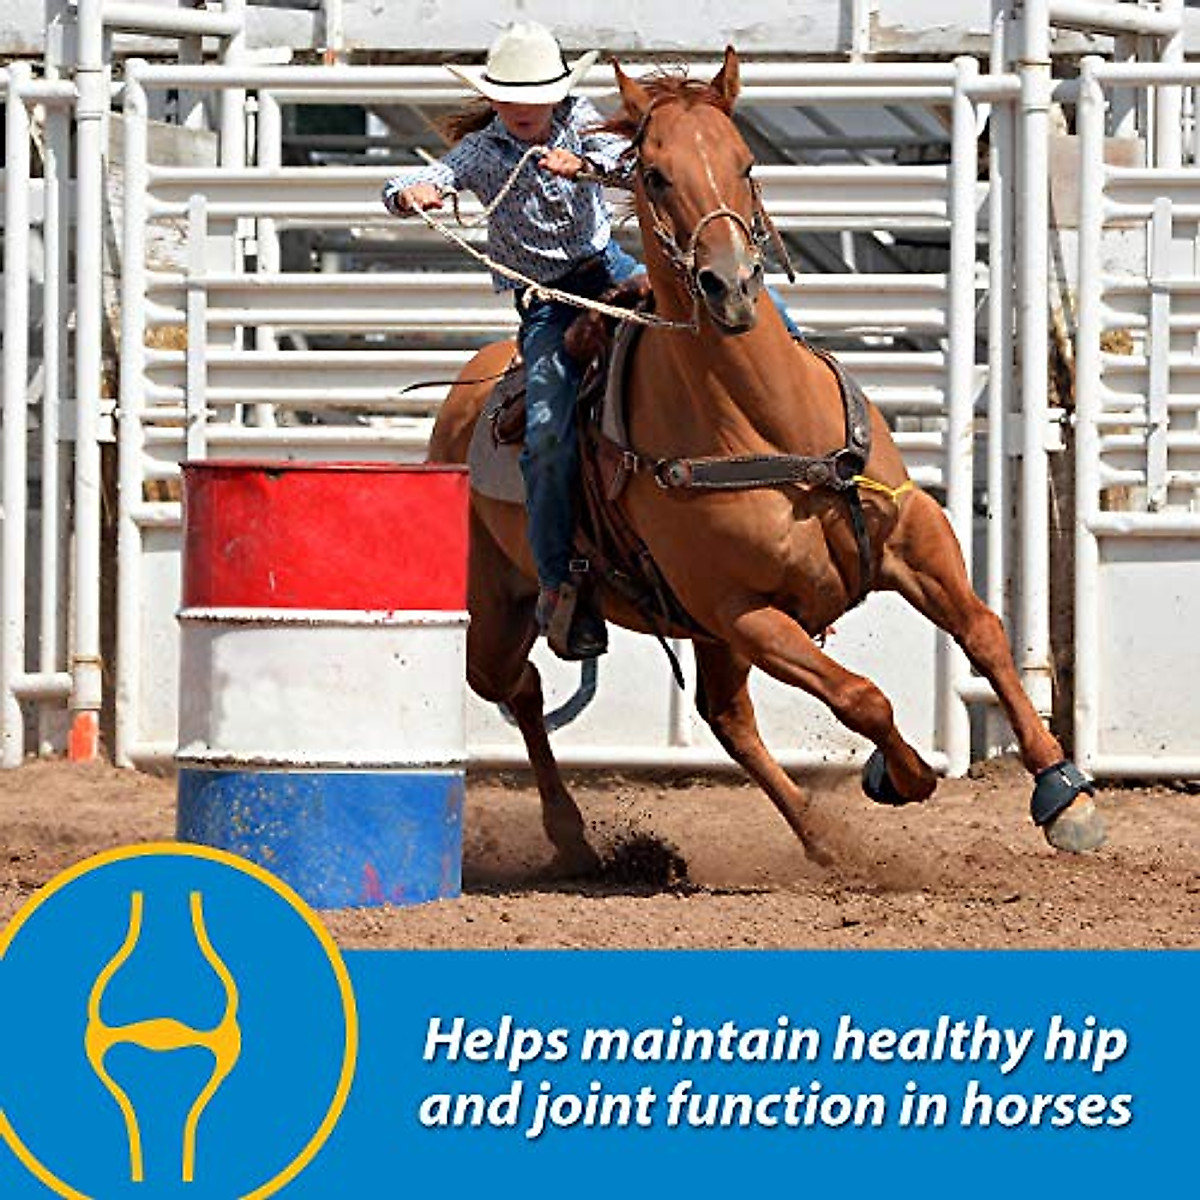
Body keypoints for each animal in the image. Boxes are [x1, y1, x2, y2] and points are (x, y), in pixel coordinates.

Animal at [427, 47, 1106, 874]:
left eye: (745, 162)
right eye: (656, 175)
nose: (730, 285)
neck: (766, 422)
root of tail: (466, 395)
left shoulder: (913, 533)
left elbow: (982, 631)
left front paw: (1063, 793)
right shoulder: (743, 611)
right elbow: (861, 696)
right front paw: (902, 773)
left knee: (723, 717)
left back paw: (818, 836)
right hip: (502, 610)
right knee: (519, 685)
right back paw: (573, 835)